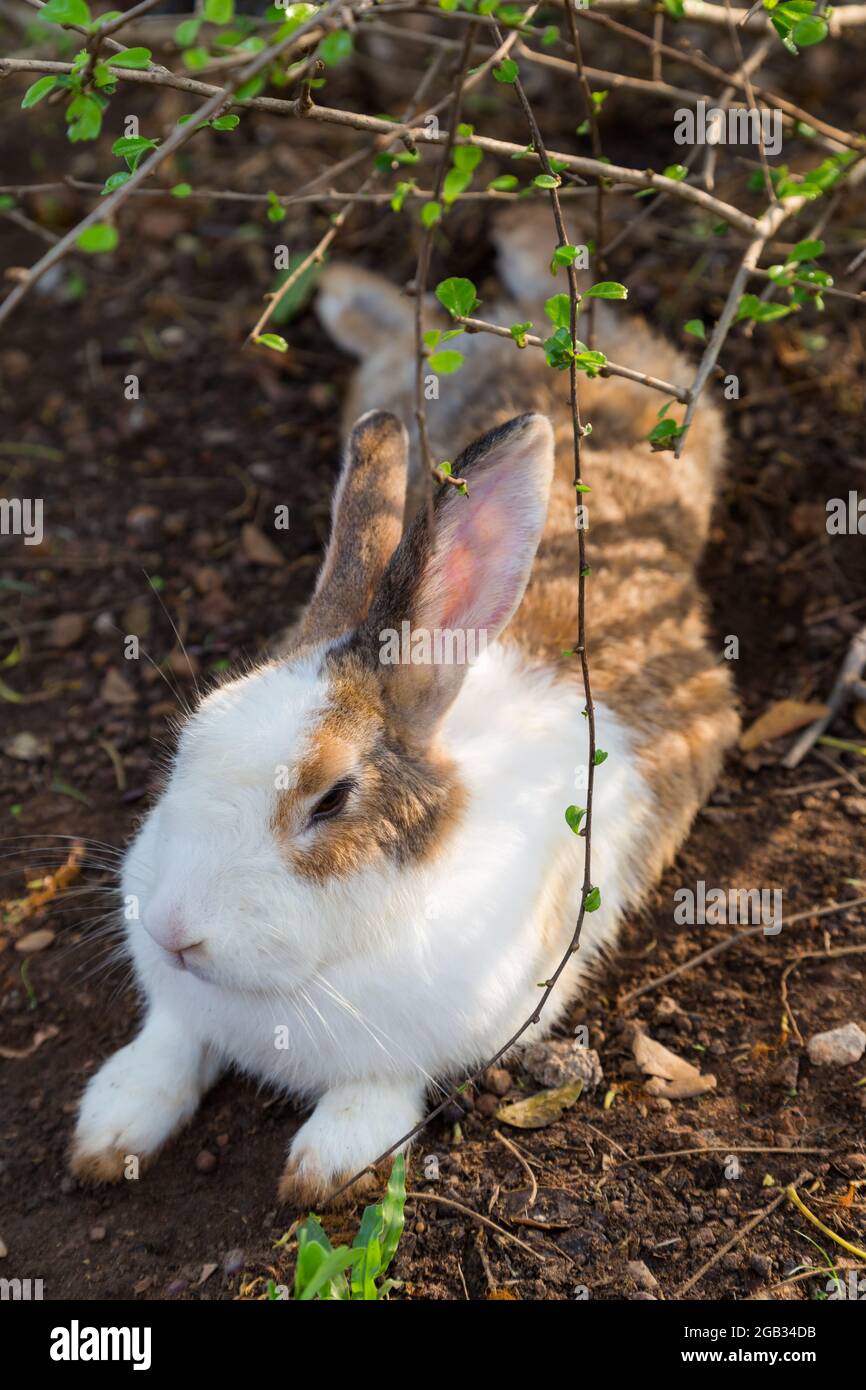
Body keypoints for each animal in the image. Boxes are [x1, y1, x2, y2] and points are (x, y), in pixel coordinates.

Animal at [70, 206, 739, 1207]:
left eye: (332, 799)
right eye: (188, 742)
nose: (177, 933)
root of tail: (545, 324)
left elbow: (379, 1090)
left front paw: (325, 1167)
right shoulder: (182, 1013)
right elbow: (170, 1041)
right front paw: (109, 1130)